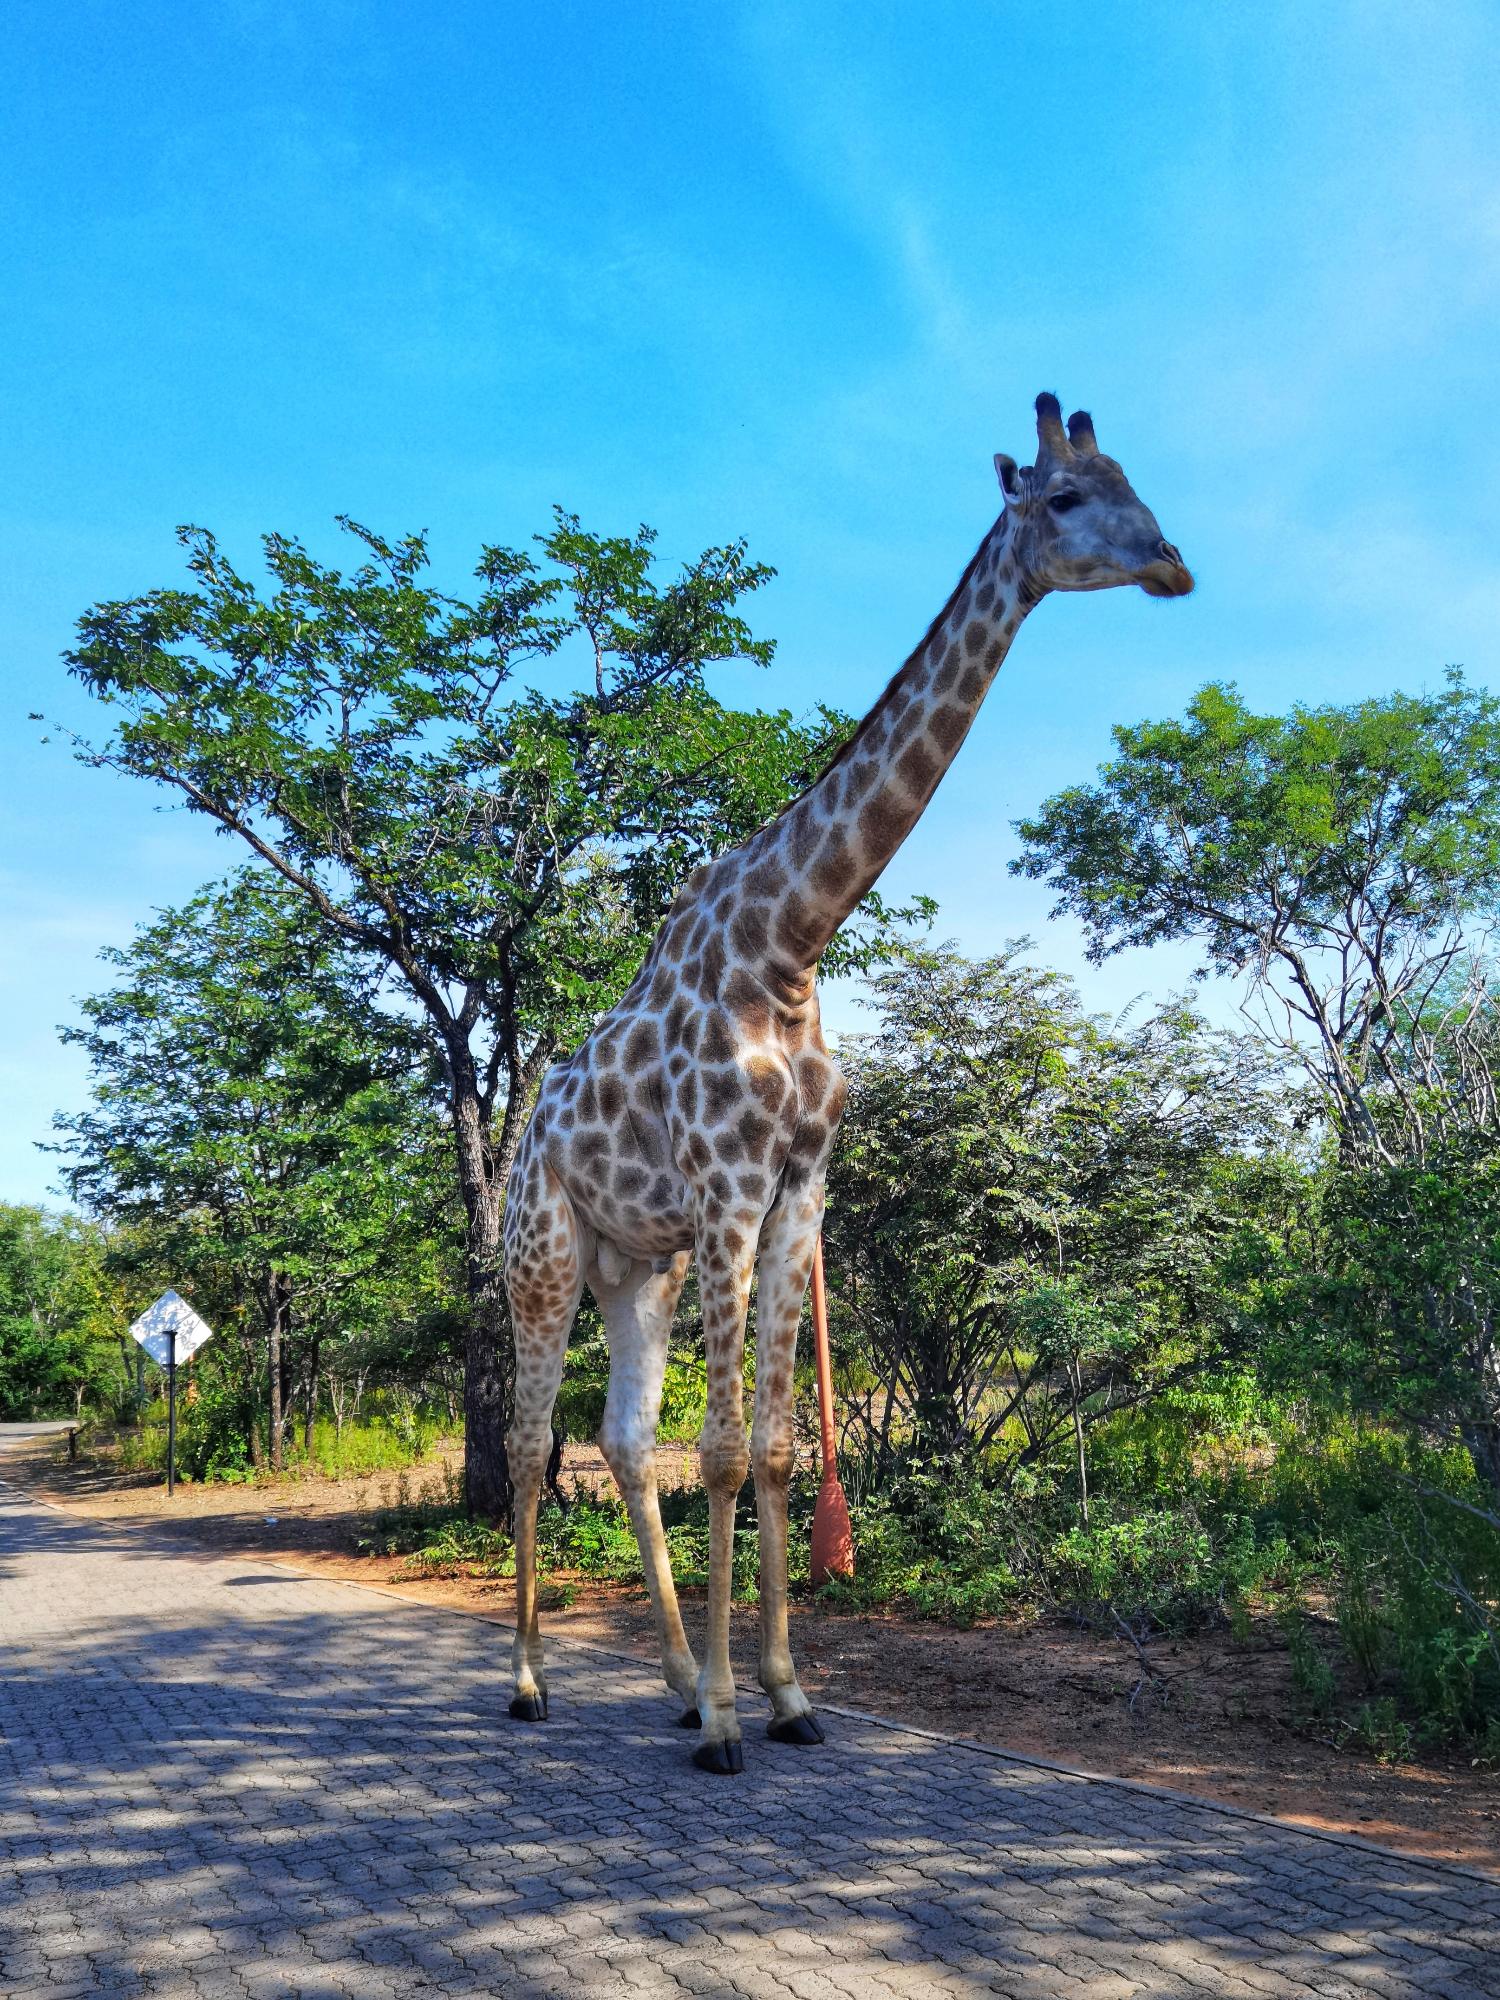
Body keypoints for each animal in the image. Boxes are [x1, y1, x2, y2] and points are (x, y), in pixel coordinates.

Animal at [506, 390, 1200, 1768]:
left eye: (1136, 482)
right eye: (1062, 498)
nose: (1172, 564)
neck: (790, 943)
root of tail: (521, 1136)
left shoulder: (799, 1192)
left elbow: (774, 1448)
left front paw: (781, 1695)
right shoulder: (728, 1189)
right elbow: (722, 1452)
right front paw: (731, 1720)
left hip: (634, 1264)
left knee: (617, 1440)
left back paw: (672, 1678)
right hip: (542, 1252)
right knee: (526, 1438)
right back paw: (529, 1681)